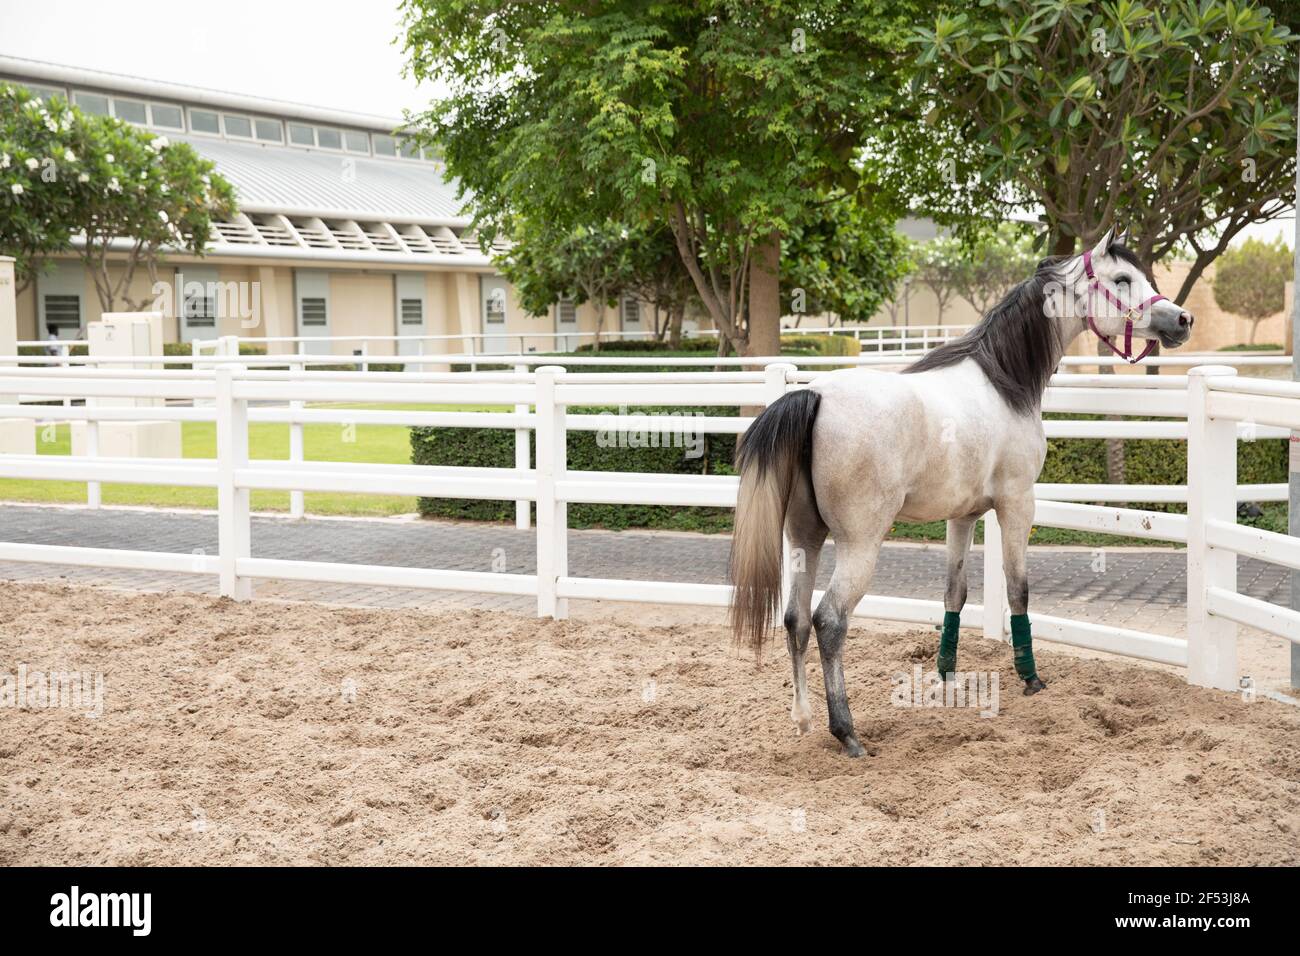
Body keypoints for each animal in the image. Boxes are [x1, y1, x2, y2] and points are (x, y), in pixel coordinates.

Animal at [729, 227, 1194, 757]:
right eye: (1122, 279)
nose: (1182, 320)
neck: (1003, 381)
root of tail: (817, 396)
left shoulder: (962, 515)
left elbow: (955, 592)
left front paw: (945, 675)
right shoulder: (1017, 504)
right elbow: (1017, 589)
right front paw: (1031, 679)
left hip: (805, 537)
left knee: (795, 619)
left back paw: (803, 718)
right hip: (859, 544)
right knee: (830, 620)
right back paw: (846, 731)